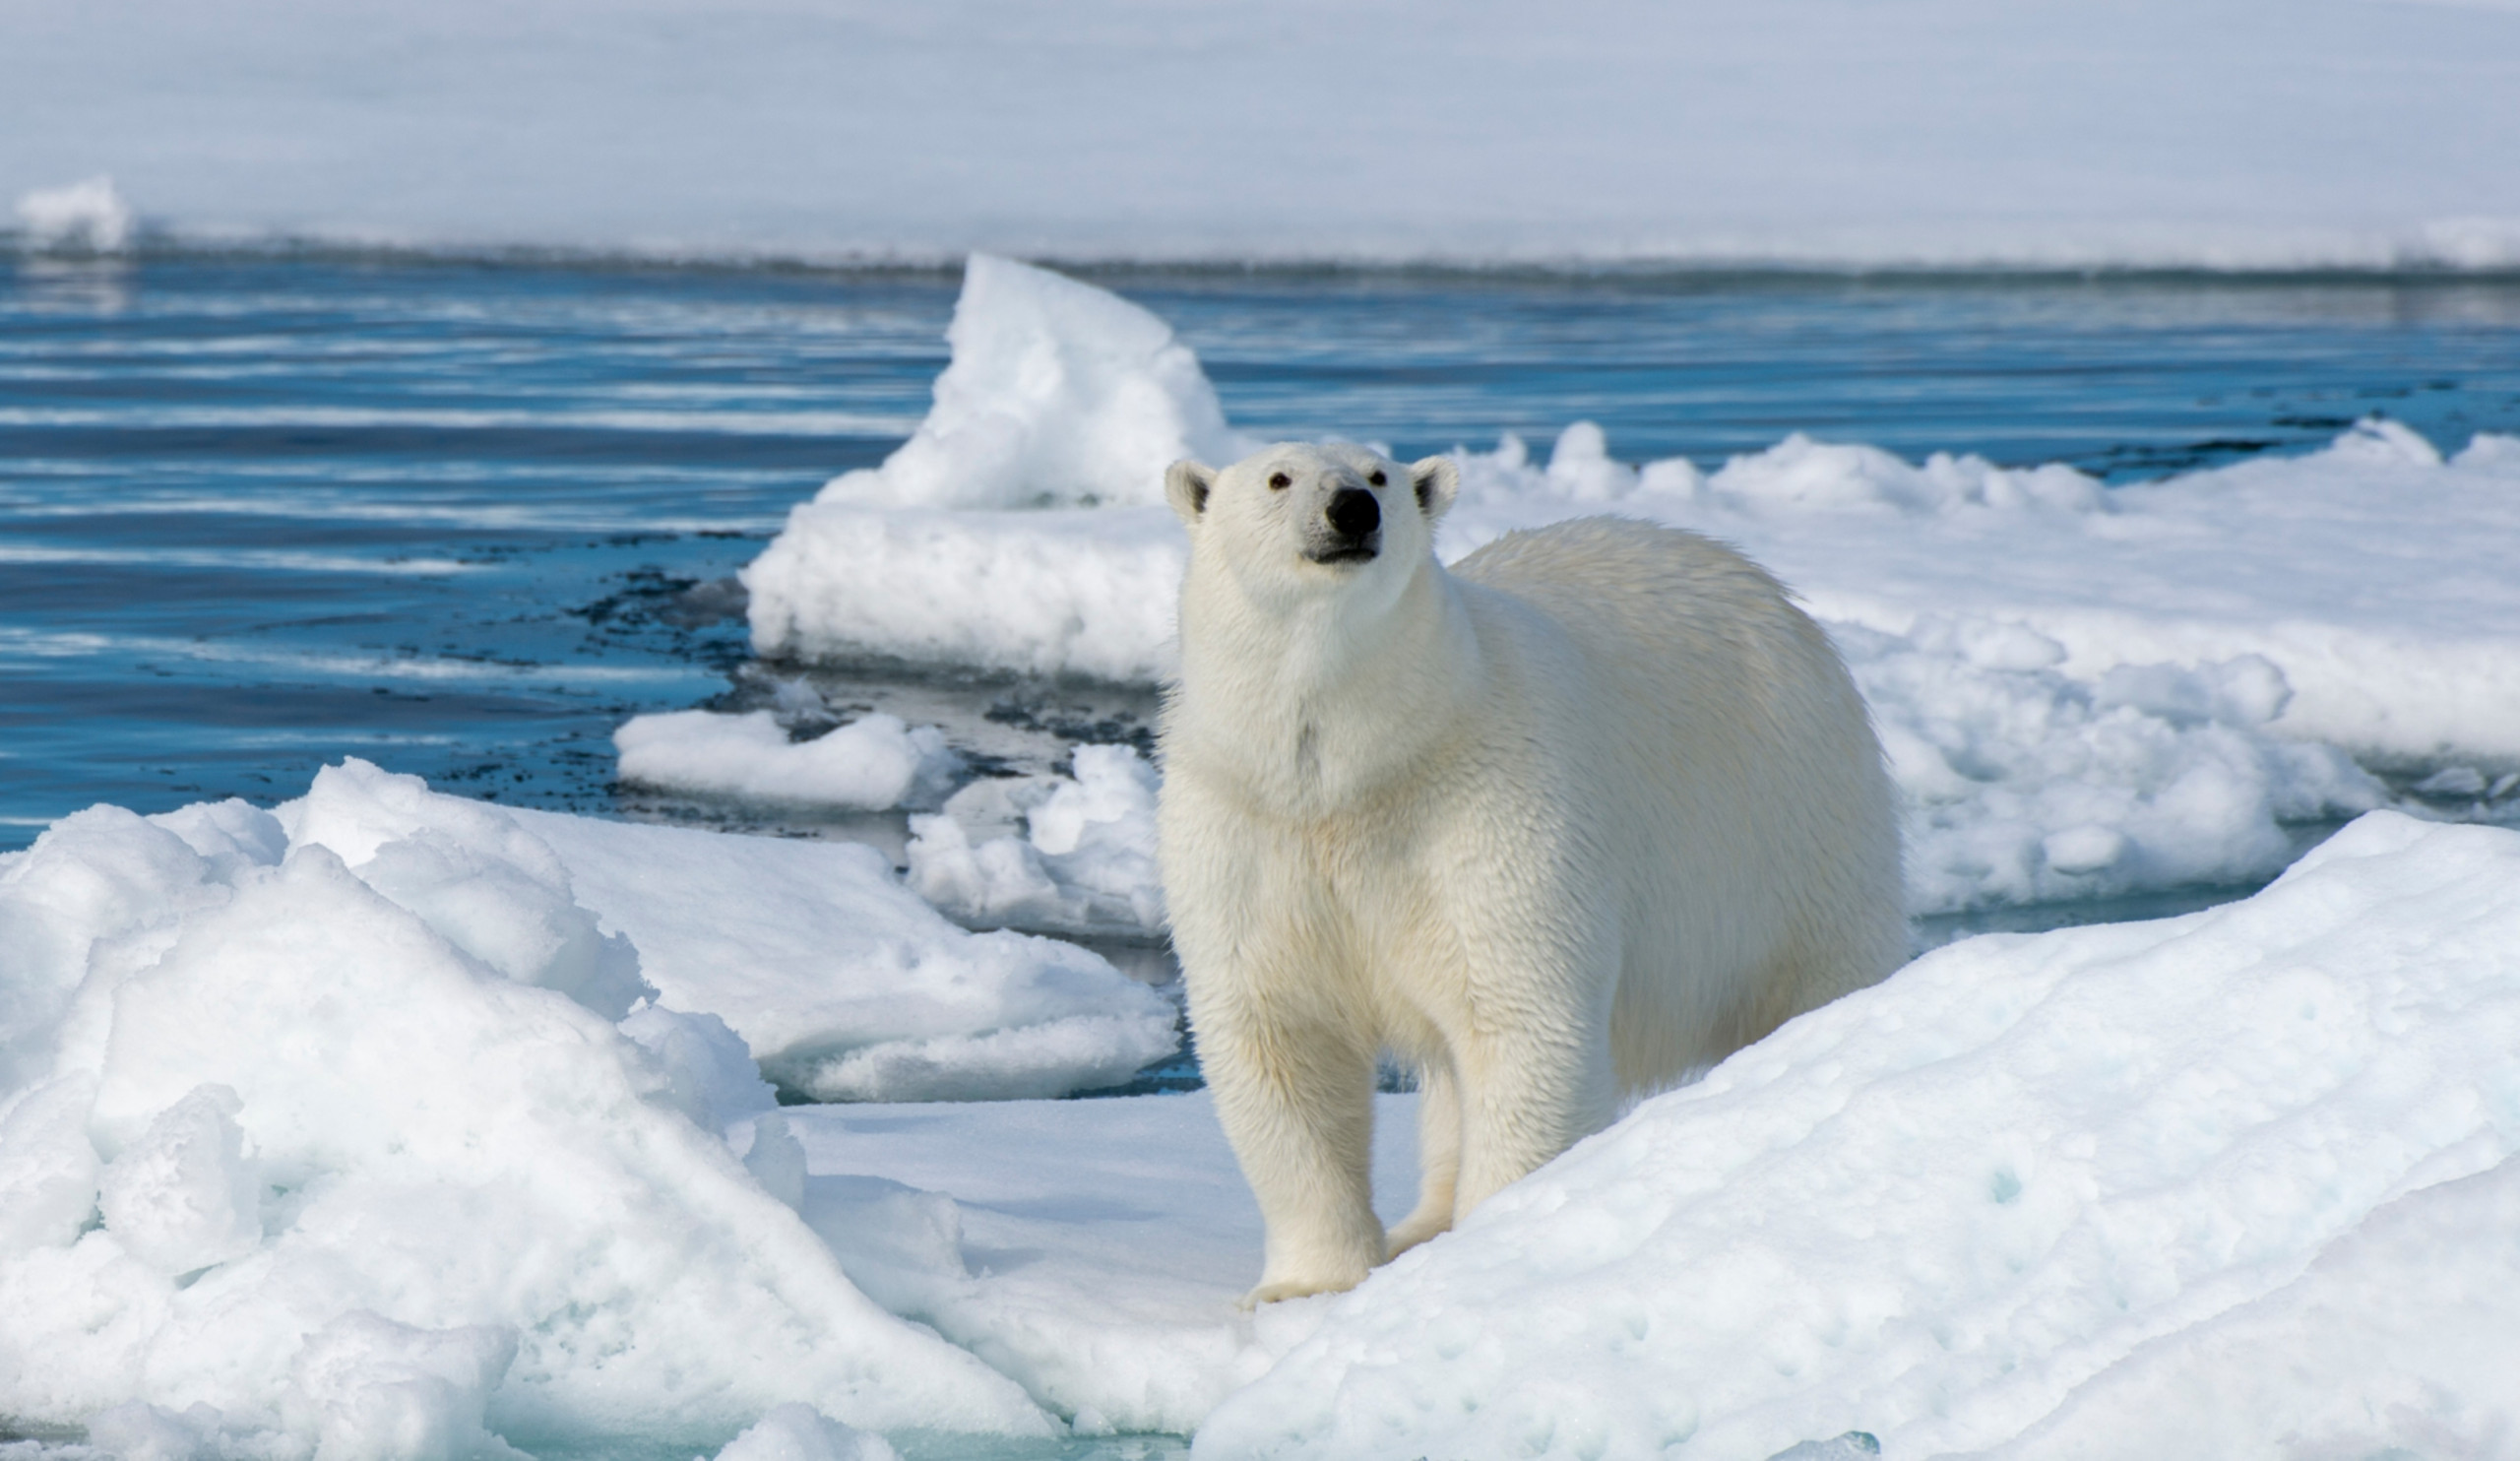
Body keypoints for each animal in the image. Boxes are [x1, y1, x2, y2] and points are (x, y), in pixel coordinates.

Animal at [1157, 442, 1905, 1305]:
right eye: (1278, 479)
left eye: (1379, 476)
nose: (1350, 510)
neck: (1354, 771)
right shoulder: (1246, 829)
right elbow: (1281, 1038)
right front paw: (1305, 1287)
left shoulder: (1490, 805)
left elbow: (1521, 1016)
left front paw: (1495, 1250)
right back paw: (1422, 1223)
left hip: (1790, 821)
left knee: (1820, 972)